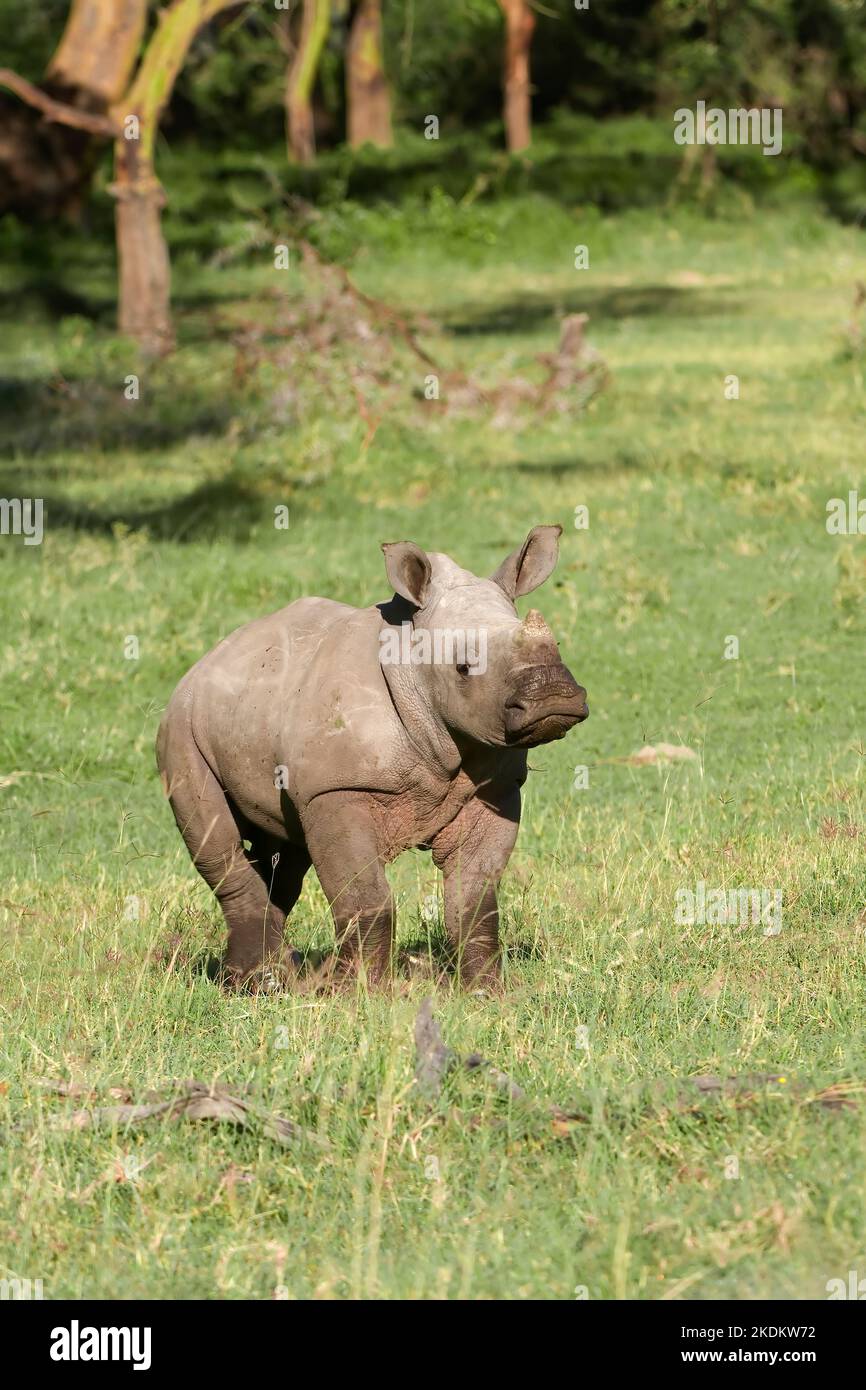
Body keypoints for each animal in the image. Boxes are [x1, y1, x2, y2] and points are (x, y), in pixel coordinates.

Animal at [156, 525, 588, 990]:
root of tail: (205, 662)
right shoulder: (338, 788)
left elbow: (474, 899)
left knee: (285, 858)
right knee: (219, 842)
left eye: (557, 645)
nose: (552, 698)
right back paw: (257, 982)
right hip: (181, 729)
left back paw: (268, 977)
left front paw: (487, 992)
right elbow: (367, 898)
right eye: (463, 668)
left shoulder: (495, 788)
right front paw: (359, 993)